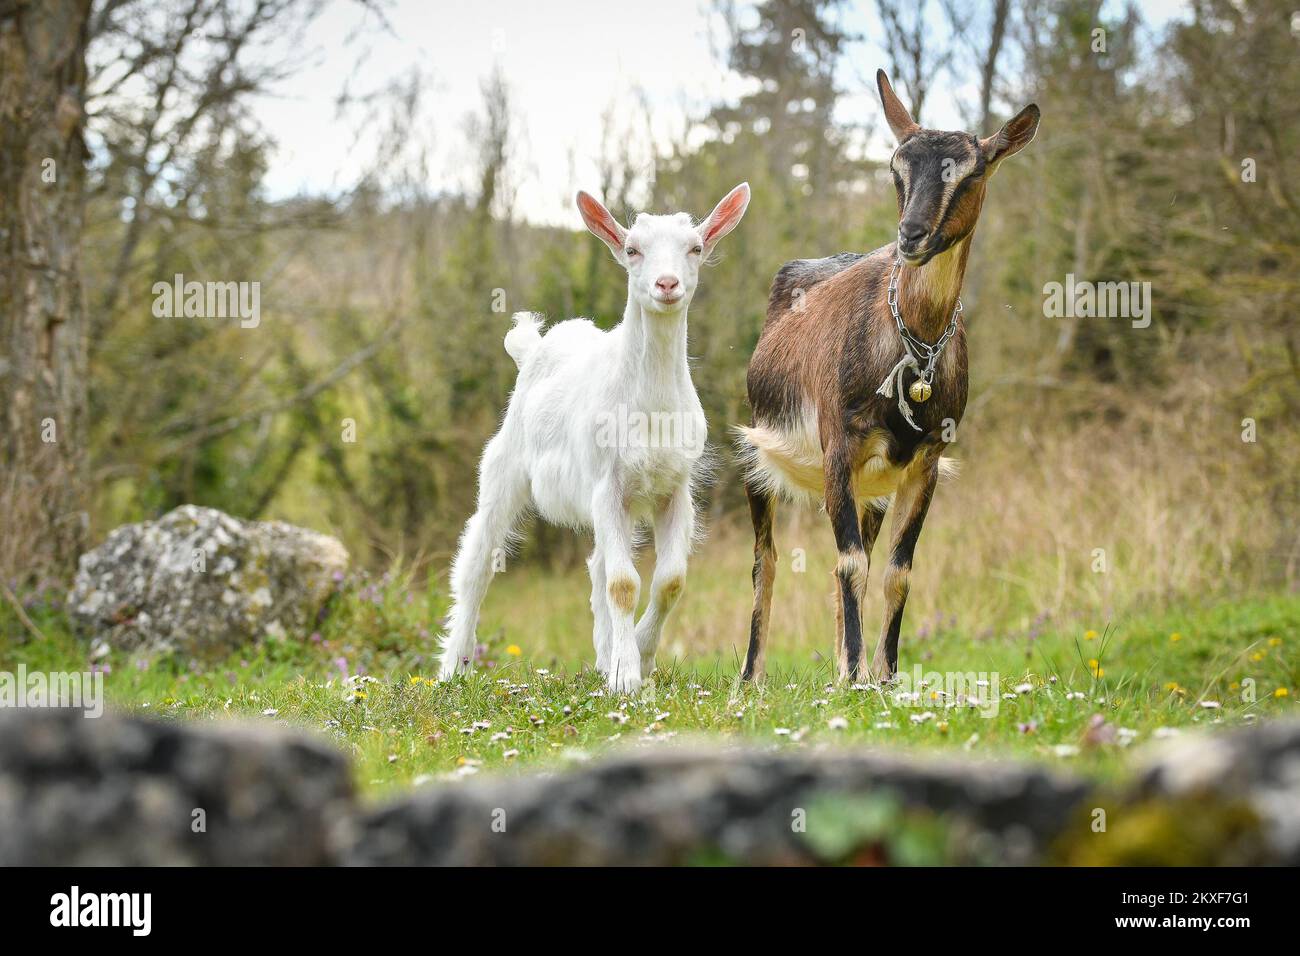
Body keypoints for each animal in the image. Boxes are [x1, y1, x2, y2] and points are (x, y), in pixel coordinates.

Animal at [438, 184, 751, 693]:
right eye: (633, 249)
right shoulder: (609, 482)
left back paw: (606, 656)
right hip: (506, 469)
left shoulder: (674, 487)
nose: (667, 285)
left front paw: (638, 655)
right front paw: (626, 678)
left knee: (597, 565)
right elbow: (623, 584)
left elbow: (669, 581)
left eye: (695, 248)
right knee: (478, 563)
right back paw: (453, 668)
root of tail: (532, 349)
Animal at [736, 71, 1039, 684]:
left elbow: (897, 571)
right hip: (759, 457)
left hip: (873, 487)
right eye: (896, 168)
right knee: (767, 562)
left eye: (972, 172)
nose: (912, 236)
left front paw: (882, 674)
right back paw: (751, 679)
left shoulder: (925, 461)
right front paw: (856, 674)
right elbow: (849, 563)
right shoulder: (838, 448)